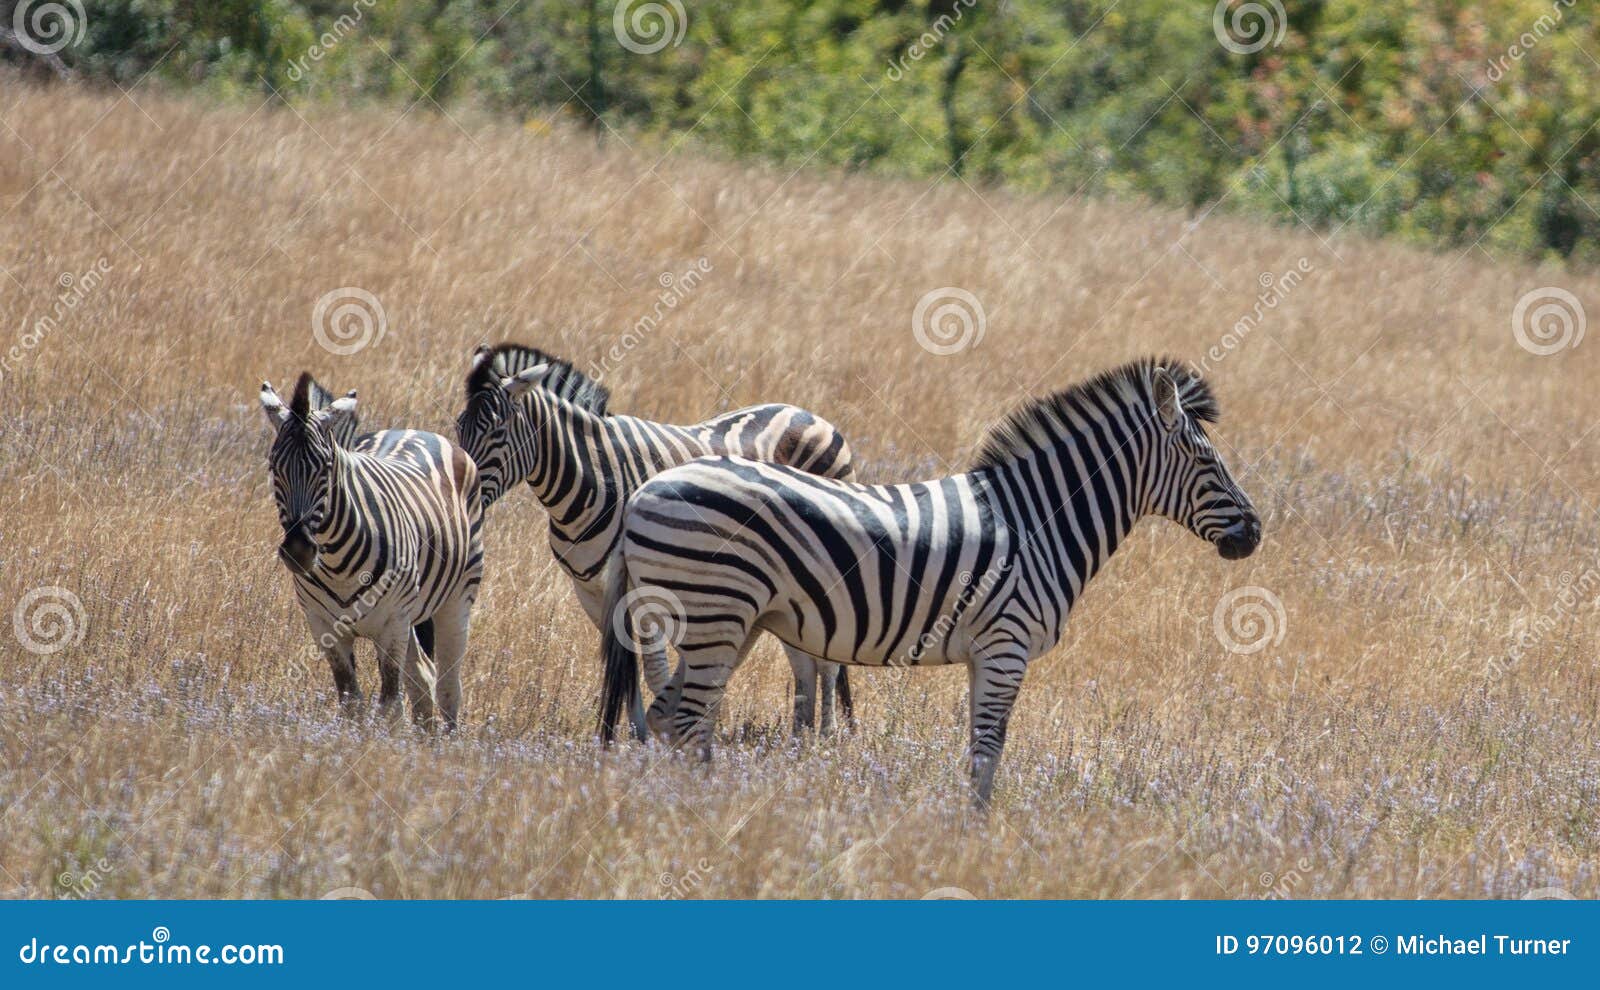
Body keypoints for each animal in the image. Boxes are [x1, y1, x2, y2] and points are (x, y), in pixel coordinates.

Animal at [261, 372, 484, 732]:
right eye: (273, 467)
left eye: (326, 467)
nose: (299, 551)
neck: (337, 564)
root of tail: (414, 429)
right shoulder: (323, 625)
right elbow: (351, 702)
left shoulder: (392, 623)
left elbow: (390, 705)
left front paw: (383, 746)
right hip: (410, 612)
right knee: (423, 675)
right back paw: (424, 737)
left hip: (455, 598)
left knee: (449, 686)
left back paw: (447, 739)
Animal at [453, 343, 857, 737]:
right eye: (458, 426)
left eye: (498, 430)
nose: (463, 487)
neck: (594, 480)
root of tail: (808, 414)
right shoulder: (592, 592)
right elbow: (626, 663)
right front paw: (636, 732)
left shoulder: (641, 587)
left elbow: (652, 668)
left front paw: (651, 734)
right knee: (802, 654)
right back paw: (800, 732)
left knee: (827, 661)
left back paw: (826, 734)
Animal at [598, 357, 1261, 805]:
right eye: (1207, 461)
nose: (1254, 532)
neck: (1037, 518)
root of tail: (643, 490)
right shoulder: (1006, 644)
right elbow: (988, 753)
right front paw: (977, 837)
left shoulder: (985, 653)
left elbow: (977, 750)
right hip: (717, 612)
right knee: (687, 722)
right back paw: (701, 811)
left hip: (727, 622)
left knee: (670, 718)